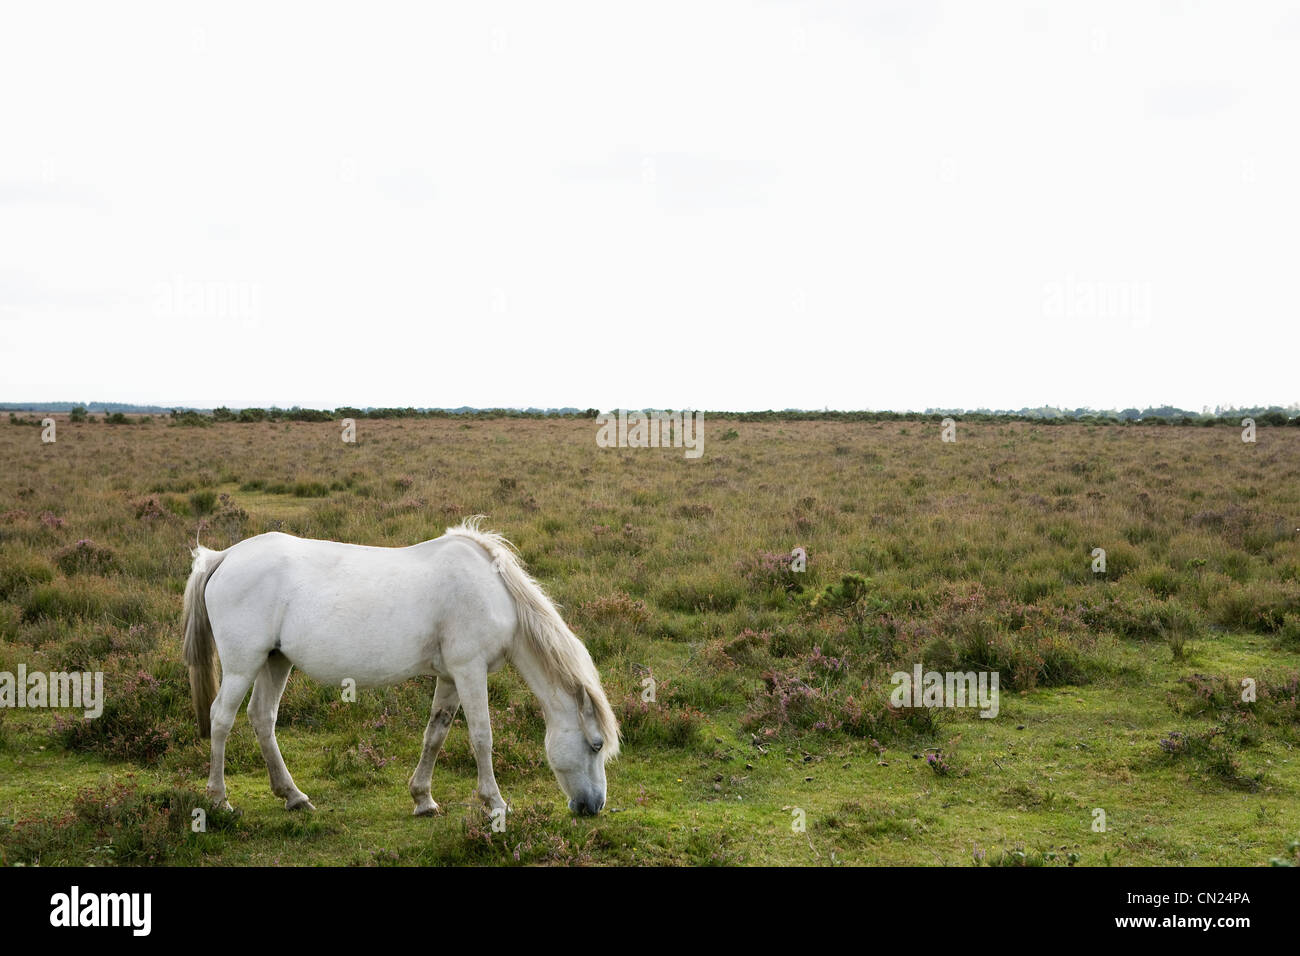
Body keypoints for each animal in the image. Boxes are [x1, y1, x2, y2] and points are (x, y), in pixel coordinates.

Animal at [180, 517, 619, 817]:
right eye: (596, 745)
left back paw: (293, 796)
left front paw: (423, 799)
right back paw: (219, 800)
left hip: (275, 661)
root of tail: (224, 556)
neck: (493, 591)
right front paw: (494, 802)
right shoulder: (470, 670)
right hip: (243, 665)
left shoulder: (450, 677)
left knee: (262, 718)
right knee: (221, 719)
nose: (593, 806)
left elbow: (436, 734)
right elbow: (482, 736)